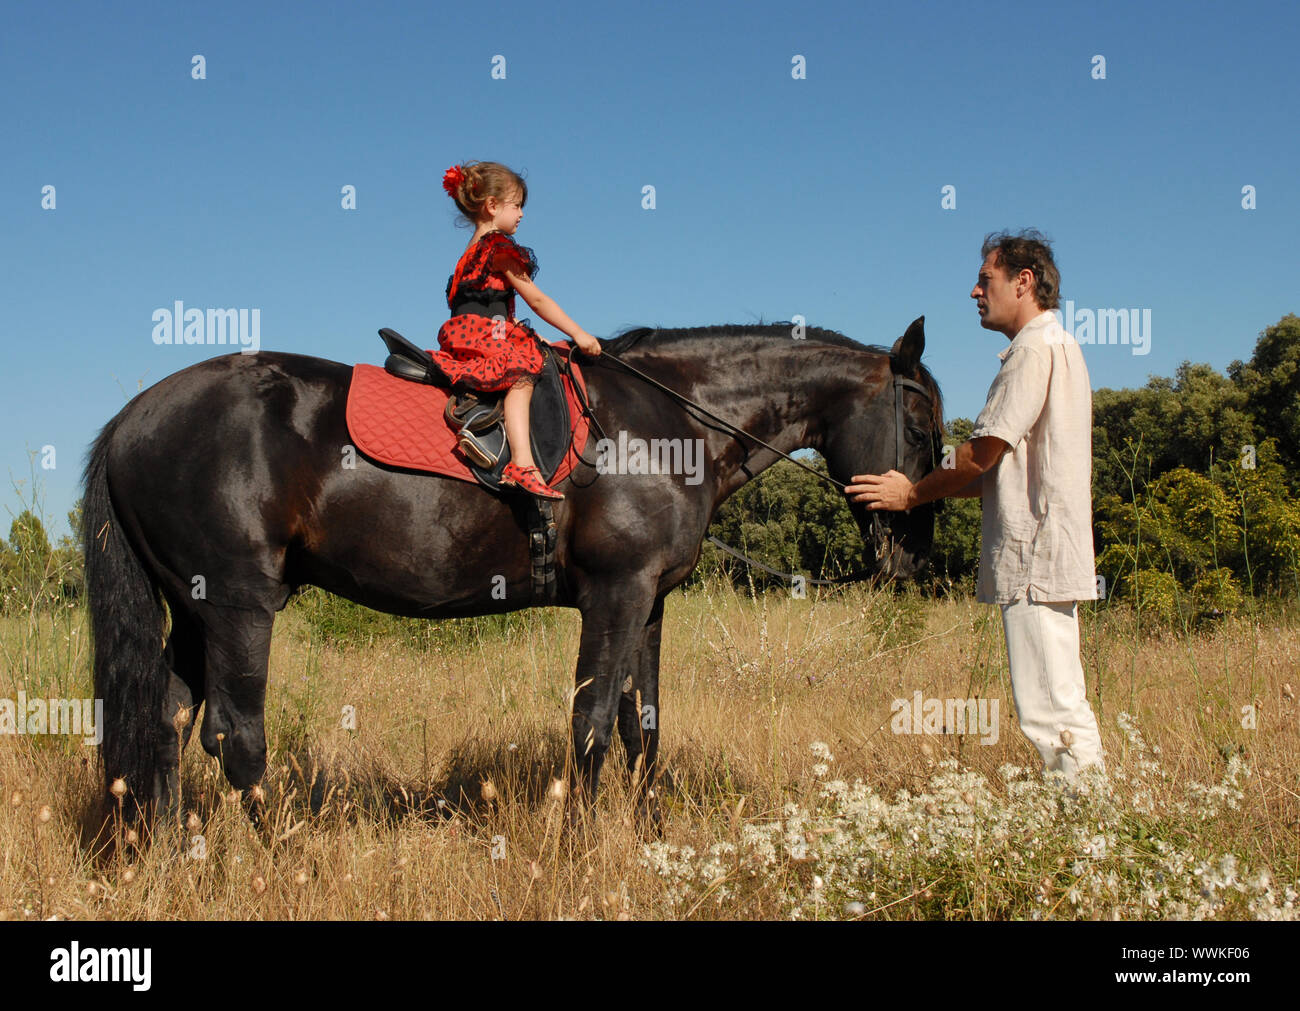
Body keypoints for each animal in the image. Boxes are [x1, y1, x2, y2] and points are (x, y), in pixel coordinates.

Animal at [82, 318, 944, 829]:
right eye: (920, 422)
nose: (912, 556)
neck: (667, 425)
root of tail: (131, 419)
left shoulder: (650, 603)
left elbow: (642, 727)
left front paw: (647, 837)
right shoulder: (615, 593)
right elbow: (591, 724)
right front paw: (582, 847)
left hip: (193, 610)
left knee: (164, 725)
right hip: (238, 604)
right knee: (236, 737)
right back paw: (286, 858)